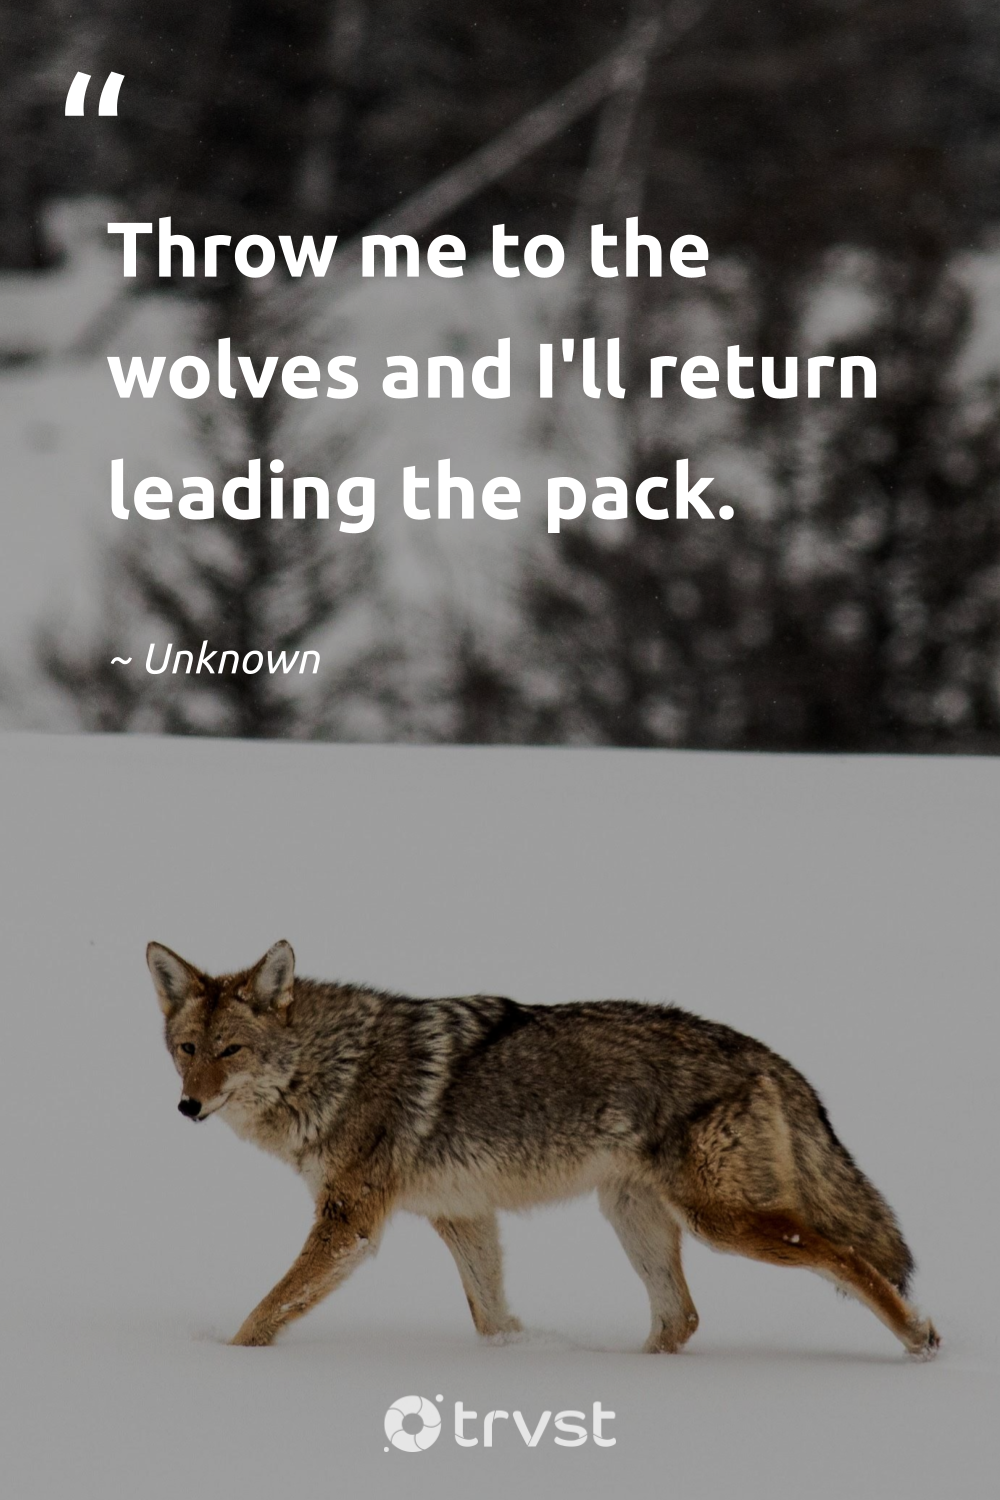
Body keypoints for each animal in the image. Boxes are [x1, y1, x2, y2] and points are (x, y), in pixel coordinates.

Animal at [146, 939, 939, 1357]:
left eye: (231, 1050)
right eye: (186, 1050)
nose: (187, 1106)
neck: (332, 1067)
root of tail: (768, 1056)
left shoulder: (351, 1224)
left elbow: (266, 1311)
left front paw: (227, 1360)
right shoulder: (463, 1215)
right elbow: (492, 1315)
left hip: (720, 1222)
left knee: (846, 1257)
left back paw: (917, 1336)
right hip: (633, 1216)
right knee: (681, 1317)